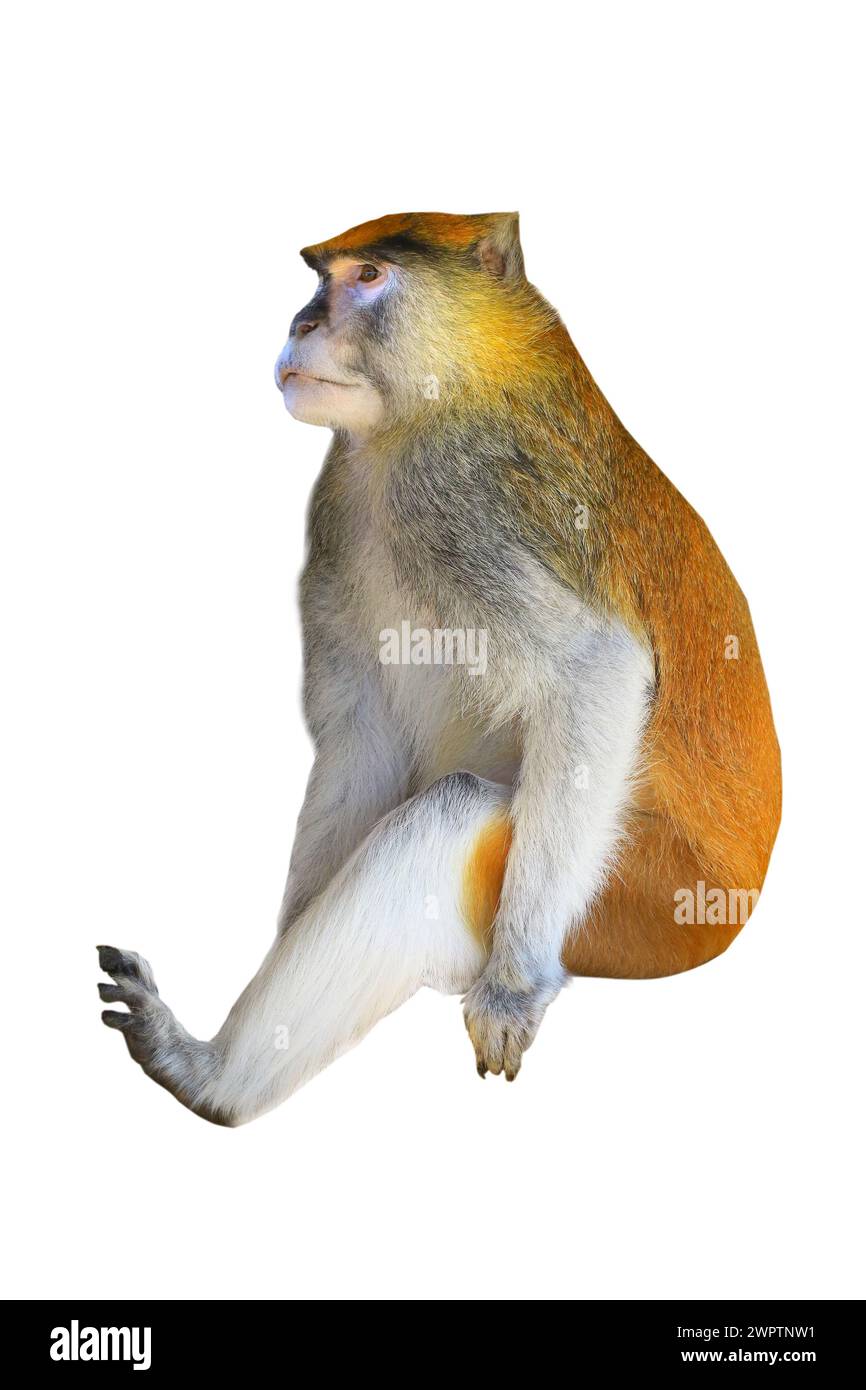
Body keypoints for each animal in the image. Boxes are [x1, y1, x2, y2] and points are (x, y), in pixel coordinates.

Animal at [98, 212, 781, 1126]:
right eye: (322, 279)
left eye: (369, 276)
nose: (301, 323)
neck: (450, 389)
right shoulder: (342, 512)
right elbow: (364, 736)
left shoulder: (461, 496)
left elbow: (594, 670)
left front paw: (511, 993)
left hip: (633, 904)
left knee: (453, 815)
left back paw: (208, 1079)